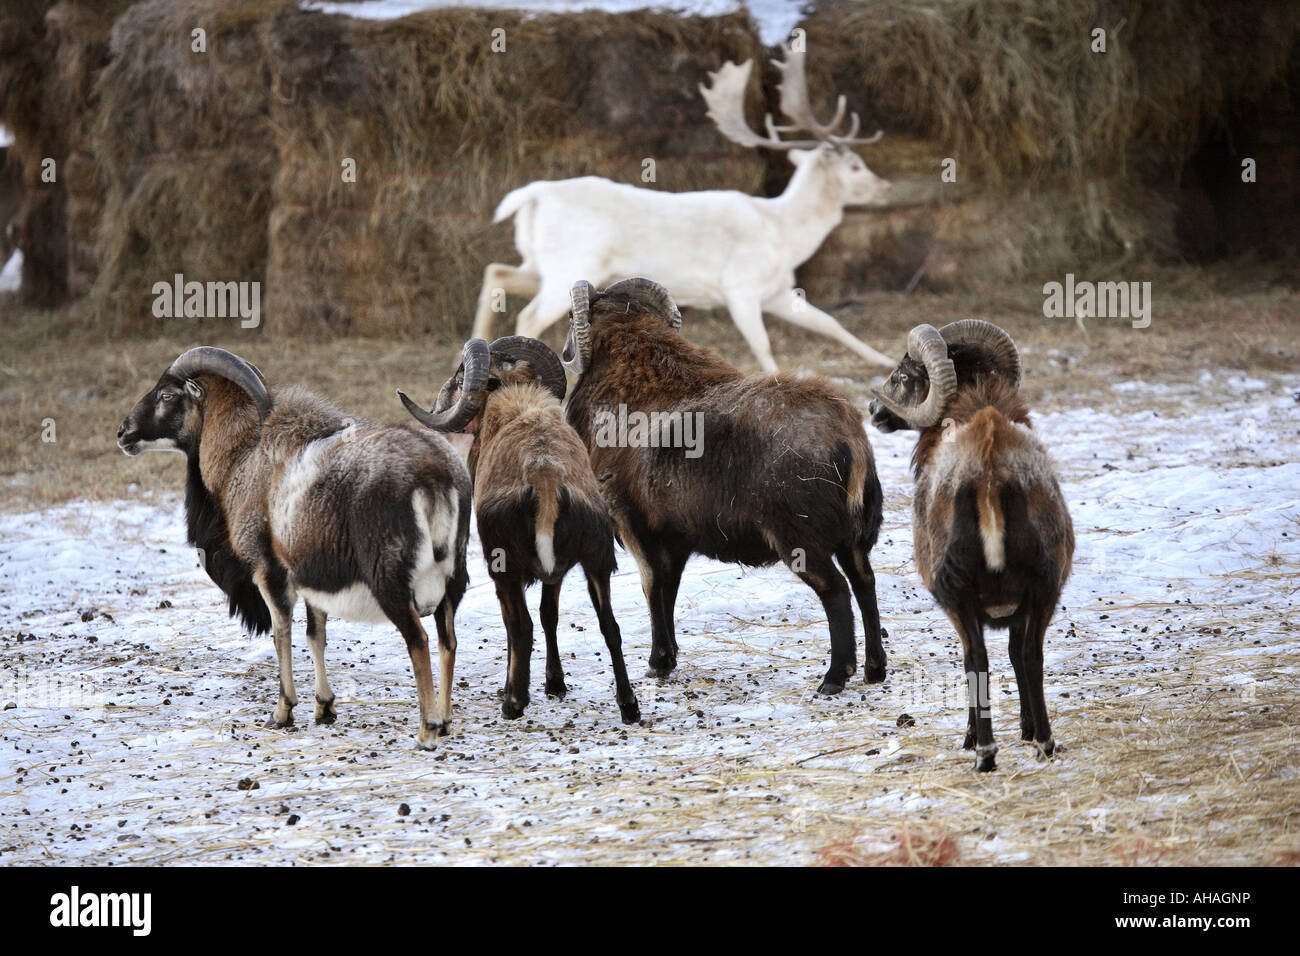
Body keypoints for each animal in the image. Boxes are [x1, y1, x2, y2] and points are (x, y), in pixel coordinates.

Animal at [116, 345, 478, 749]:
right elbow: (315, 635)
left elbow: (282, 633)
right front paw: (324, 709)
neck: (245, 459)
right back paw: (444, 721)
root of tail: (435, 479)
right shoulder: (311, 578)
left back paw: (426, 730)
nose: (123, 432)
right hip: (453, 581)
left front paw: (282, 712)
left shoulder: (268, 571)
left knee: (419, 640)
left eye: (167, 395)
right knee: (448, 641)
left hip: (392, 585)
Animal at [399, 336, 640, 724]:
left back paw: (513, 703)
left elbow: (516, 626)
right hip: (597, 562)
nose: (438, 405)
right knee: (609, 627)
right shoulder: (556, 574)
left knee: (521, 628)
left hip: (505, 566)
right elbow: (549, 615)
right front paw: (555, 683)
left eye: (460, 377)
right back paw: (629, 706)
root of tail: (546, 482)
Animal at [560, 277, 887, 695]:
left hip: (801, 541)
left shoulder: (634, 525)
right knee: (864, 582)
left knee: (837, 592)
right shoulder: (674, 538)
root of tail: (846, 437)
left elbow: (652, 586)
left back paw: (834, 677)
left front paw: (657, 662)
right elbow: (668, 588)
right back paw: (874, 669)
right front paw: (667, 660)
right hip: (853, 539)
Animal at [868, 320, 1074, 771]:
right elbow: (1015, 654)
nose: (874, 410)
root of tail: (990, 471)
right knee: (1031, 655)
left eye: (904, 375)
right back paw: (1044, 743)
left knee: (975, 660)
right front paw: (1027, 730)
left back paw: (984, 753)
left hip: (957, 594)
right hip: (1045, 587)